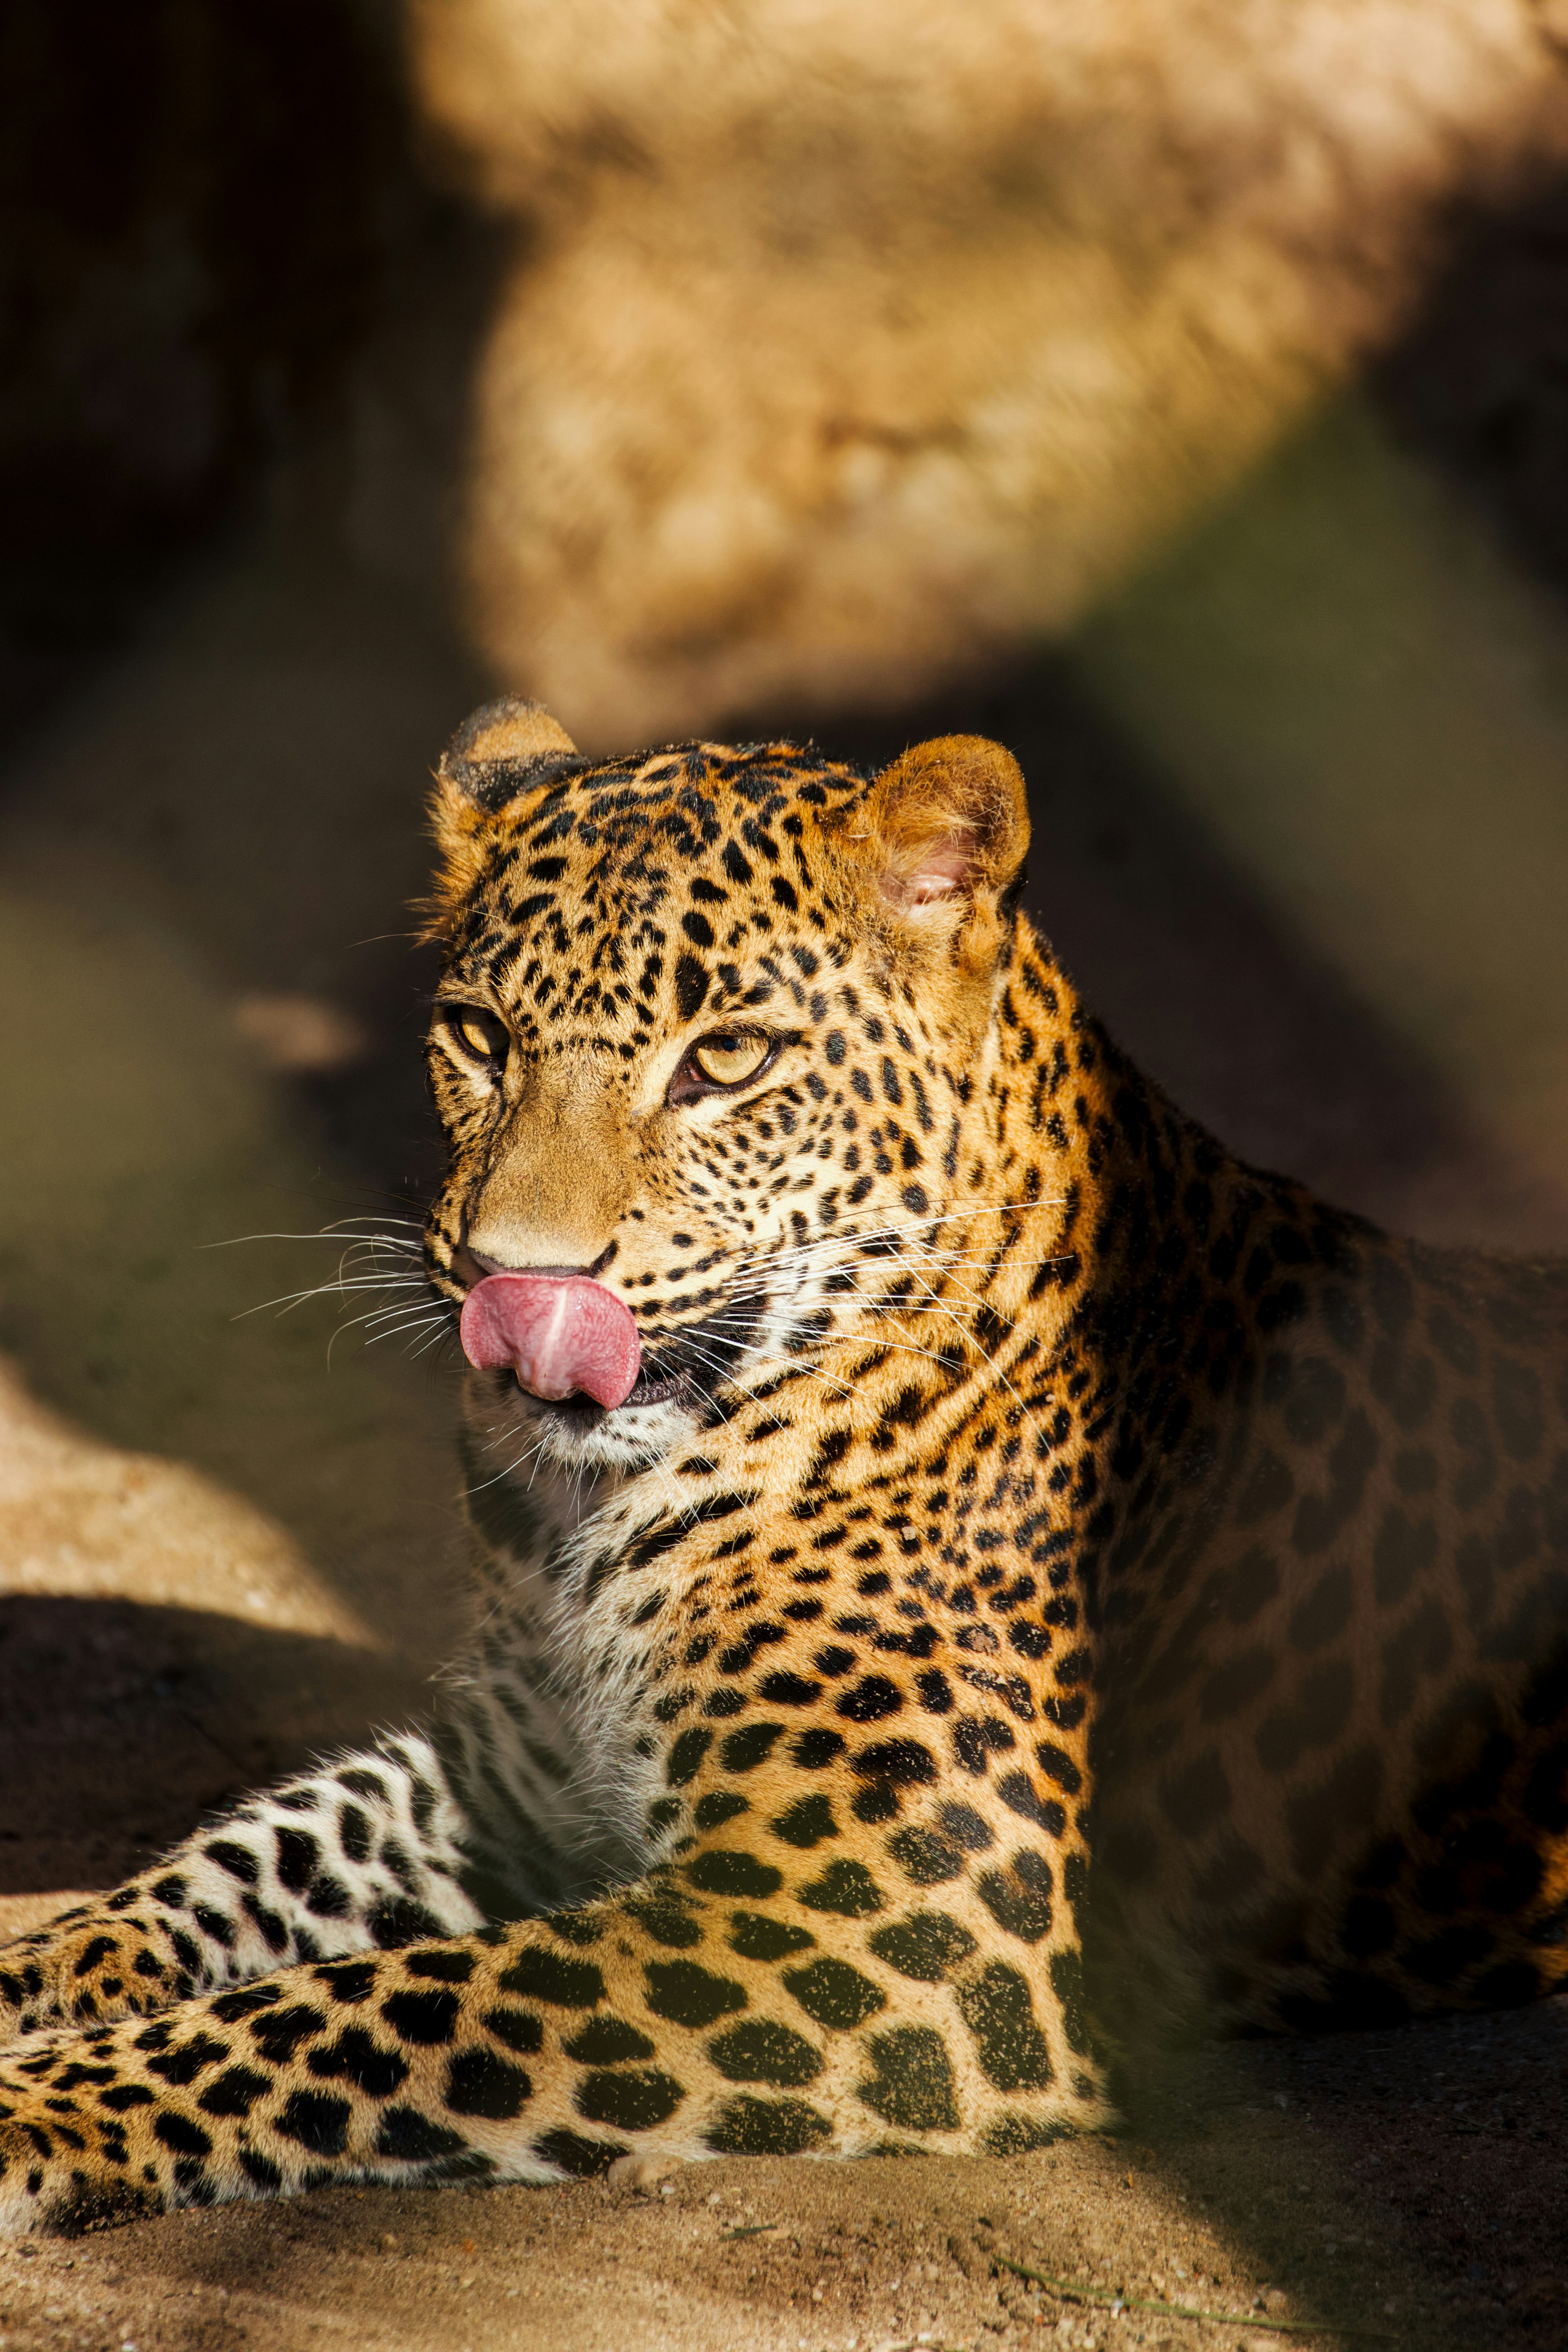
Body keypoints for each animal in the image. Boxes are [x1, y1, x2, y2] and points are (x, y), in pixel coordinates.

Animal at [0, 696, 1565, 2235]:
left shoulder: (899, 1915)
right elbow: (250, 1853)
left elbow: (380, 2006)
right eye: (480, 1036)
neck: (587, 1510)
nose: (510, 1279)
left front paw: (41, 2110)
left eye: (725, 1060)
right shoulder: (520, 1777)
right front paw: (35, 1980)